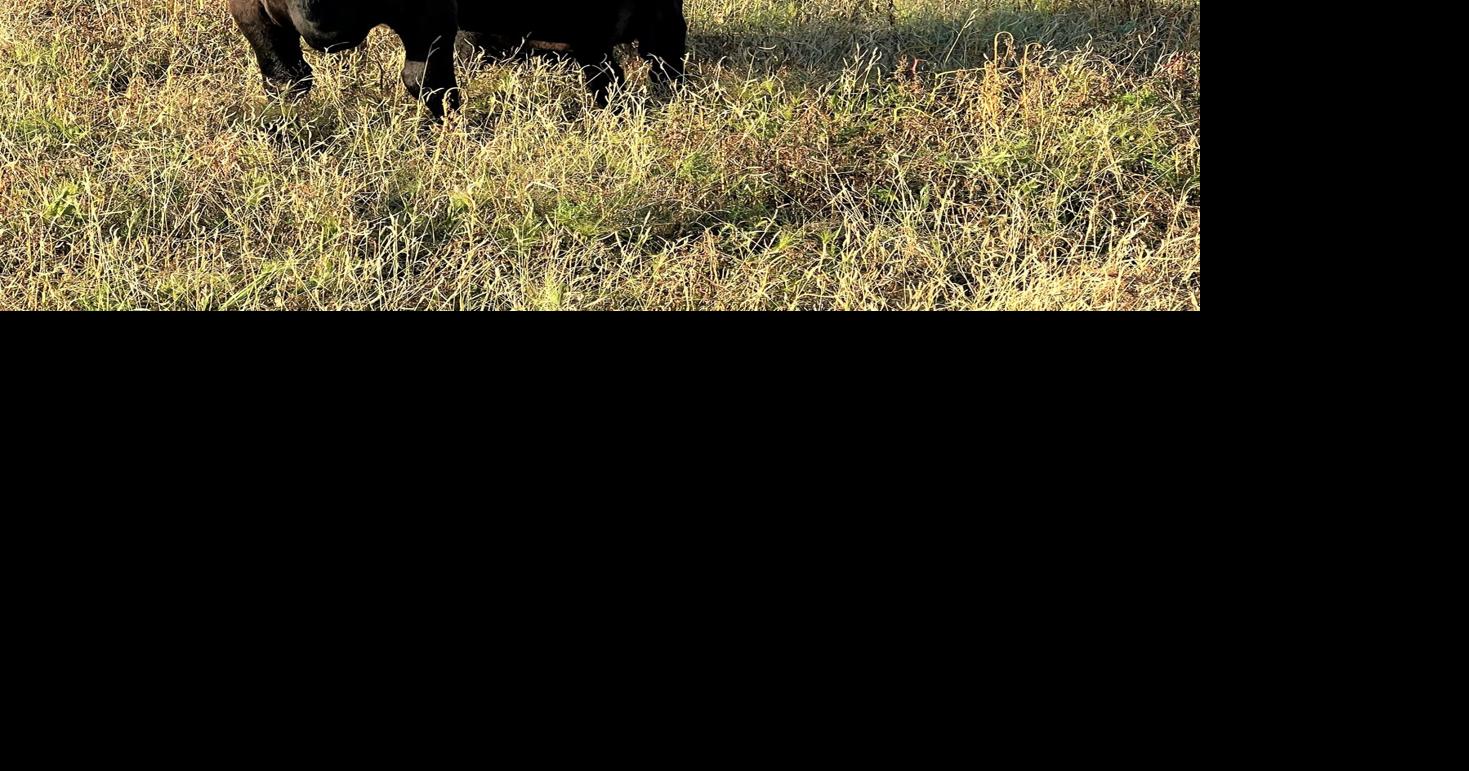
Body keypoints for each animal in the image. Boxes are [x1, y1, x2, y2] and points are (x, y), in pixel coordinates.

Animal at [227, 1, 688, 119]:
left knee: (660, 45)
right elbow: (284, 75)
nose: (333, 34)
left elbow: (425, 80)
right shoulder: (251, 11)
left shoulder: (427, 15)